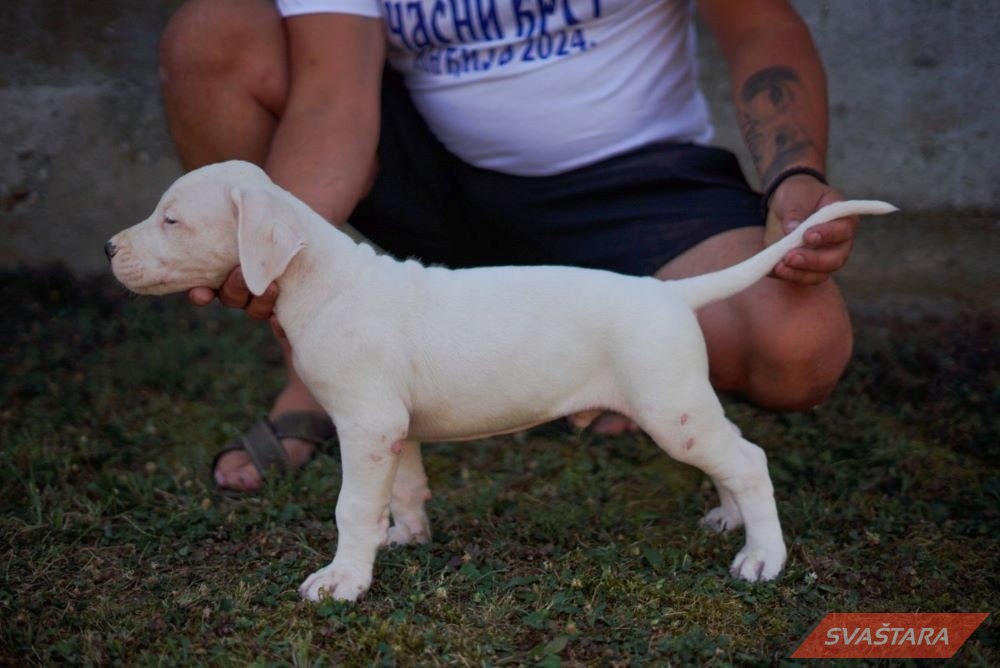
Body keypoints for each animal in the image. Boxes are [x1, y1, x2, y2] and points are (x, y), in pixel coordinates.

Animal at [109, 160, 900, 600]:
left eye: (172, 219)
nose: (111, 247)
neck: (323, 279)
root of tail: (669, 293)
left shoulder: (365, 425)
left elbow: (351, 508)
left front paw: (343, 581)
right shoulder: (392, 428)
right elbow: (404, 488)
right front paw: (405, 538)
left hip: (667, 405)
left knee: (750, 459)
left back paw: (762, 555)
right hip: (682, 405)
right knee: (732, 454)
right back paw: (730, 519)